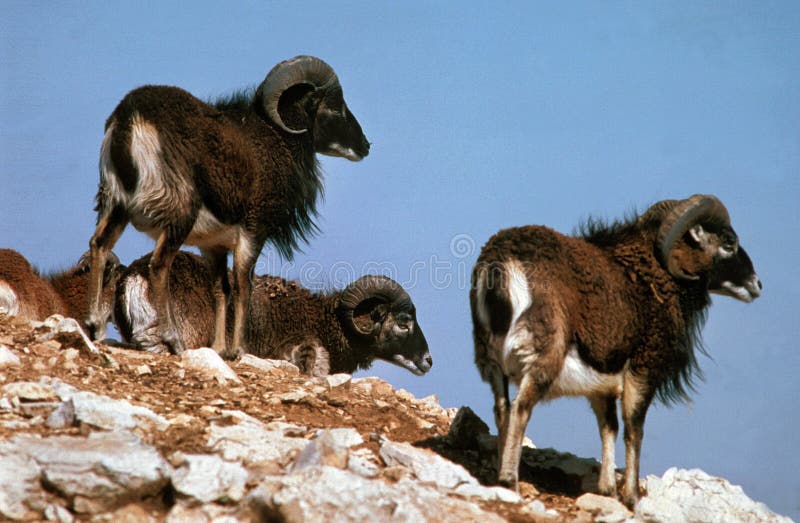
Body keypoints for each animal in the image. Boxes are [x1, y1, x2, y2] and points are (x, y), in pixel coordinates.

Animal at [85, 55, 370, 359]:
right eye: (335, 107)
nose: (365, 146)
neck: (273, 142)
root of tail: (131, 118)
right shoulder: (252, 233)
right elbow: (243, 286)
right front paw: (236, 350)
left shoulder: (214, 245)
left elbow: (220, 289)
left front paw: (219, 347)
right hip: (177, 216)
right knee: (159, 265)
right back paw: (173, 341)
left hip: (115, 206)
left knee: (99, 244)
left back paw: (93, 326)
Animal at [470, 194, 761, 507]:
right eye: (729, 242)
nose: (756, 285)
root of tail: (501, 267)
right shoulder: (642, 372)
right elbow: (634, 429)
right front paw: (631, 498)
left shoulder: (602, 386)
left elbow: (608, 427)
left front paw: (607, 490)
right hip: (541, 360)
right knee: (521, 408)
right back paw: (509, 482)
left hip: (492, 363)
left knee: (502, 409)